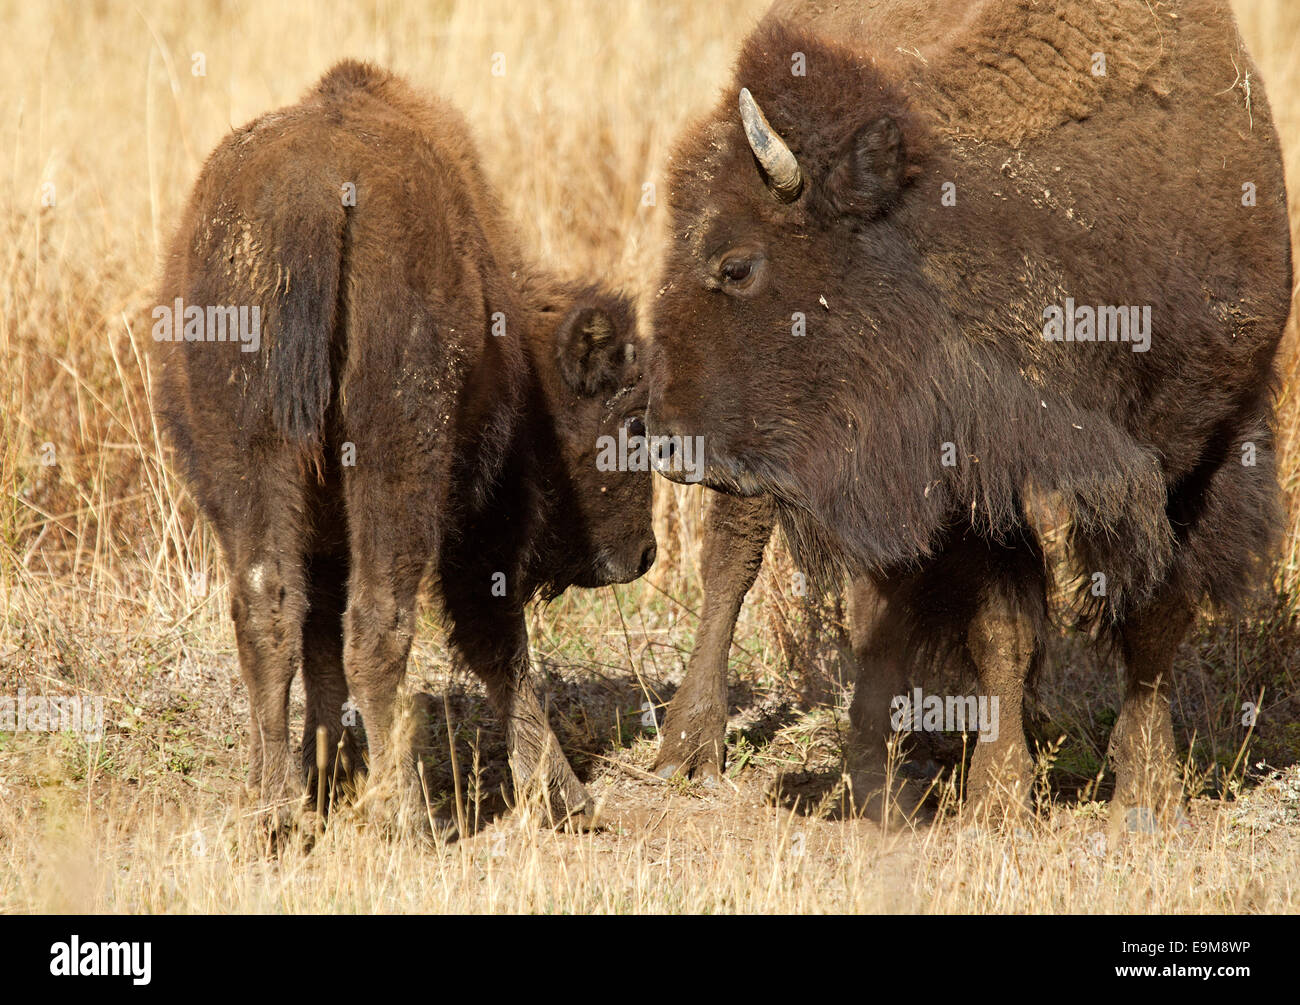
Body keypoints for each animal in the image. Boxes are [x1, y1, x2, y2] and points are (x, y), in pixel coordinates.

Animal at [153, 61, 656, 836]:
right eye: (632, 422)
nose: (644, 554)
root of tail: (315, 196)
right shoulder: (485, 522)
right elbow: (496, 642)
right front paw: (568, 797)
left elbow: (318, 638)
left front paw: (327, 773)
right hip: (398, 459)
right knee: (379, 621)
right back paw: (408, 818)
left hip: (249, 450)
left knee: (268, 606)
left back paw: (277, 809)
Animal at [647, 0, 1292, 828]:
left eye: (738, 264)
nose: (669, 442)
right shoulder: (989, 481)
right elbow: (1003, 634)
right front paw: (998, 795)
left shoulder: (1206, 448)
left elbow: (1156, 618)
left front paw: (1148, 792)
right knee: (733, 559)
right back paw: (689, 747)